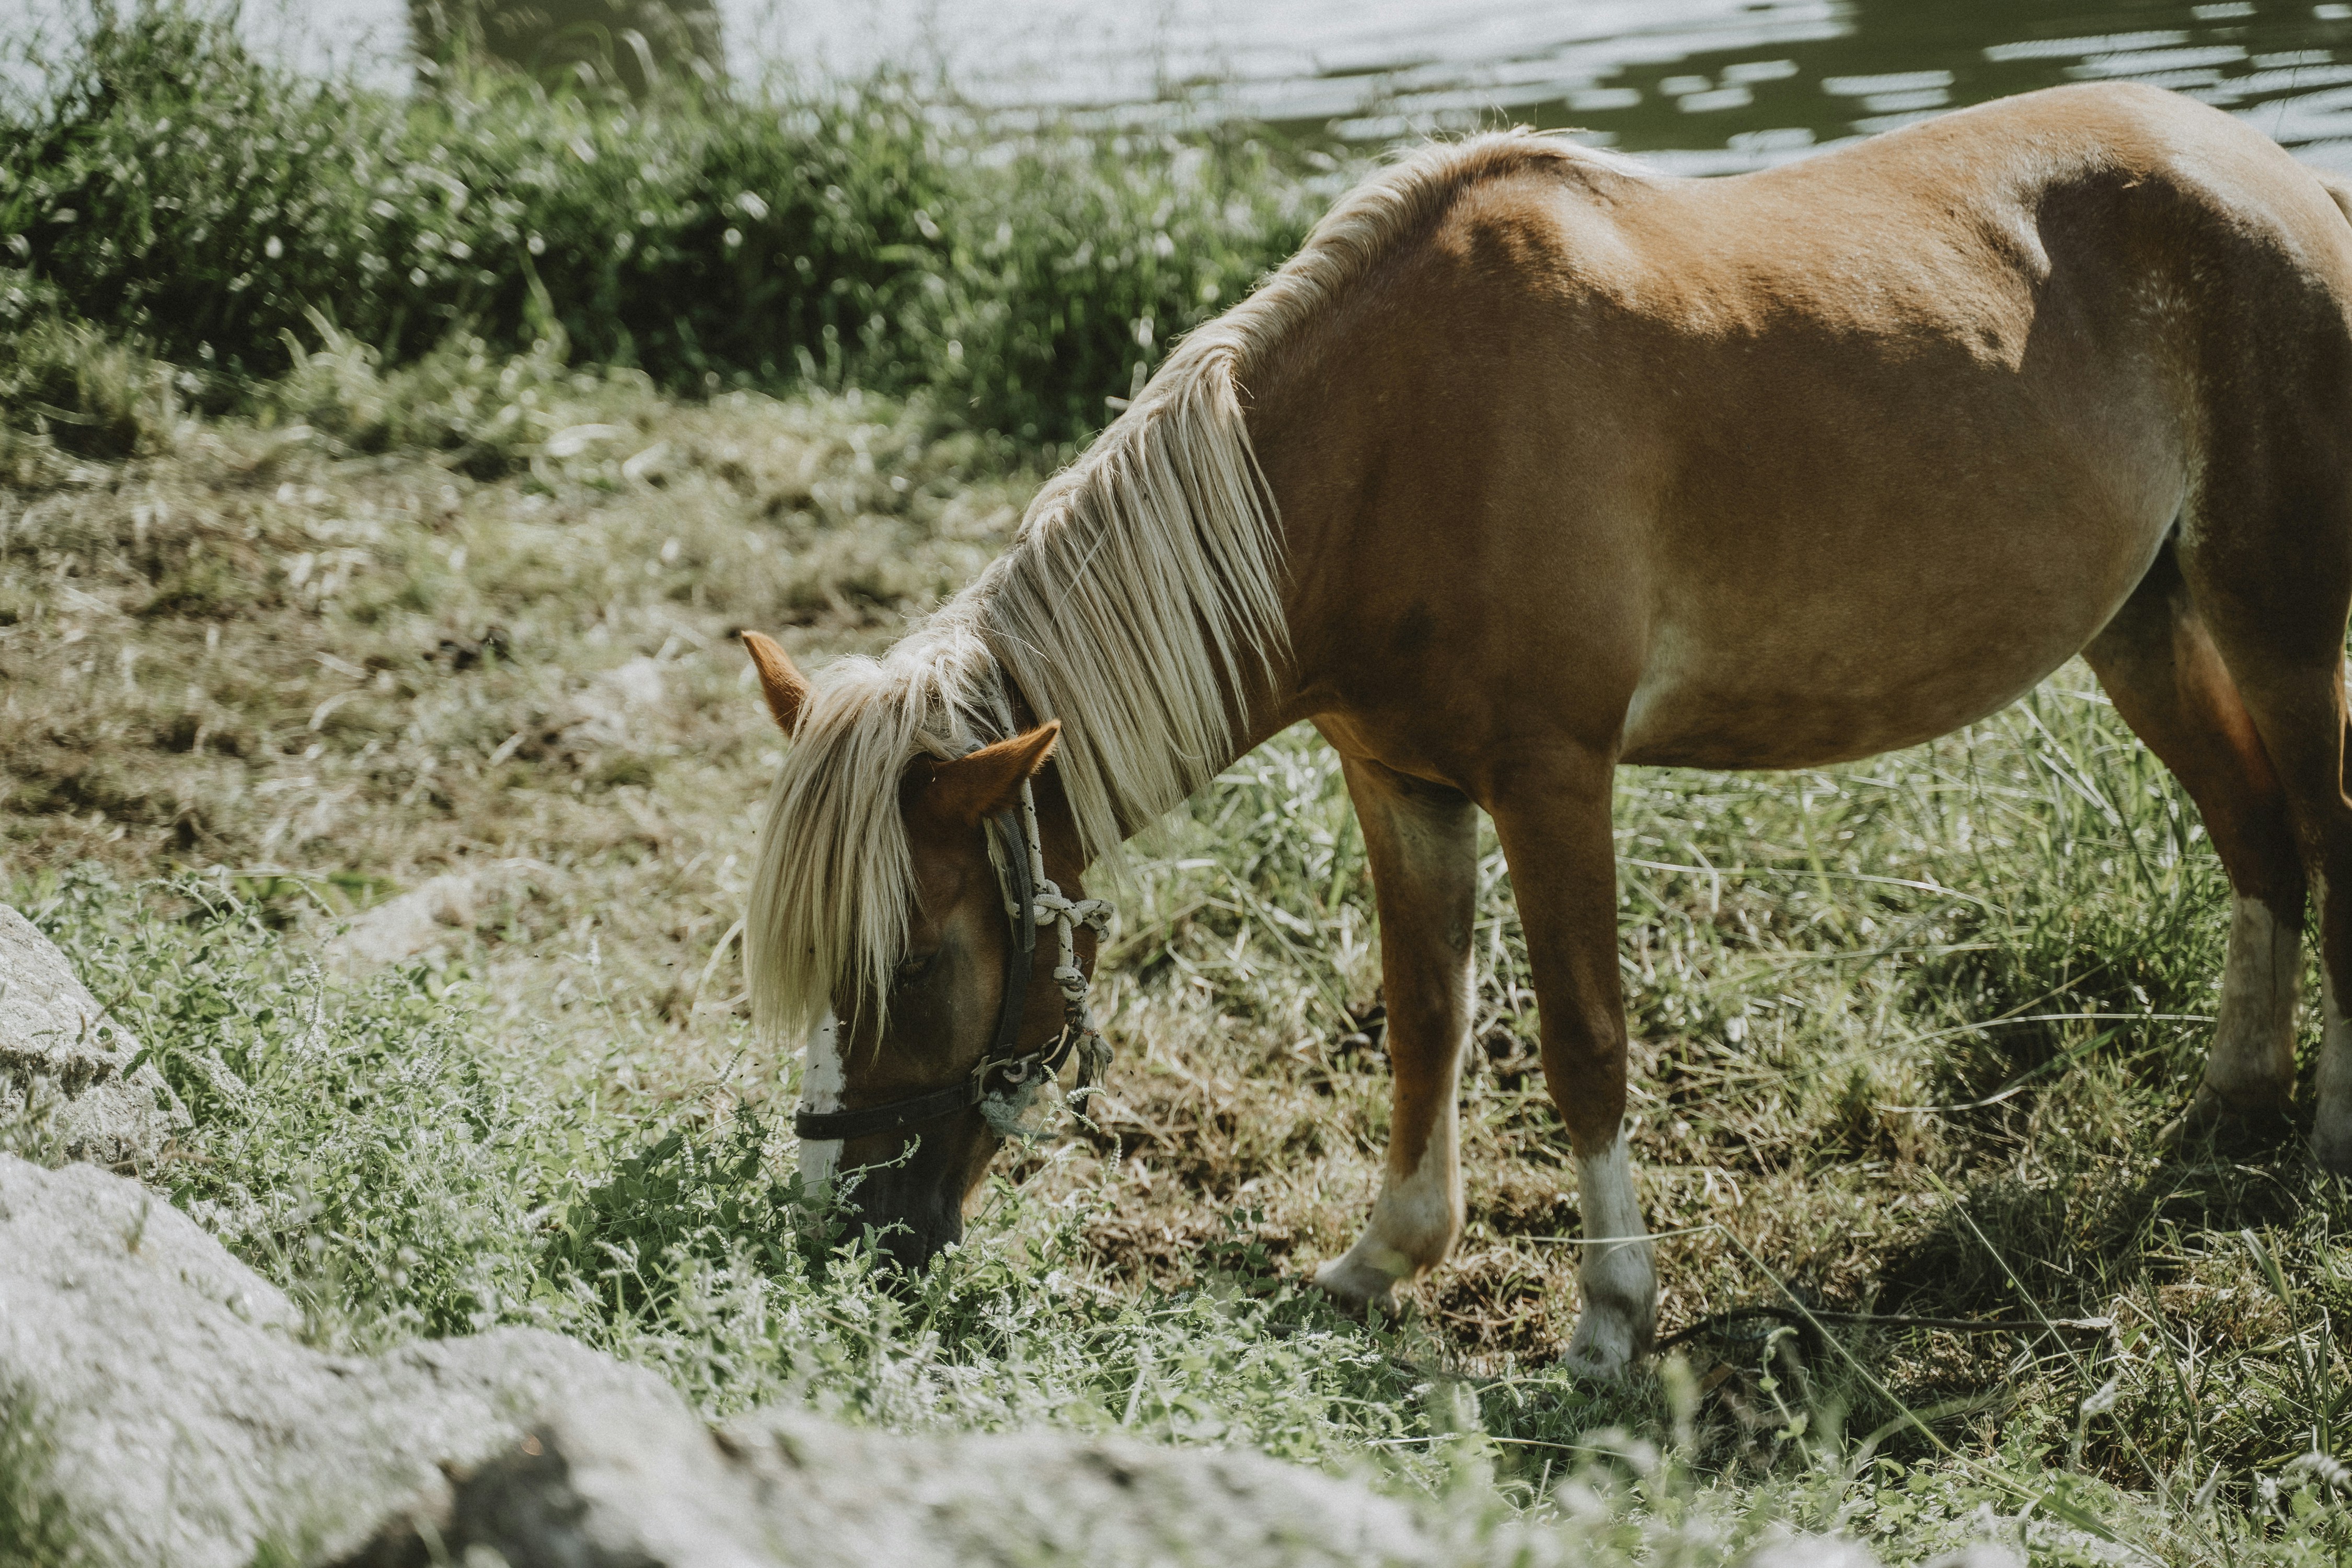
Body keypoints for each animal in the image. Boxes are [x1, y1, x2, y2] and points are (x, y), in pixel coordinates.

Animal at [738, 81, 2352, 1374]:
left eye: (919, 961)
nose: (841, 1231)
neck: (1377, 455)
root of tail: (2276, 180)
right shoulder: (1400, 783)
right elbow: (1424, 1022)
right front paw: (1380, 1259)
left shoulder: (1550, 779)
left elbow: (1583, 1040)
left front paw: (1608, 1320)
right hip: (2137, 627)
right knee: (2256, 843)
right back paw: (2231, 1104)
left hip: (2277, 624)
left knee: (2321, 839)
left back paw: (2325, 1133)